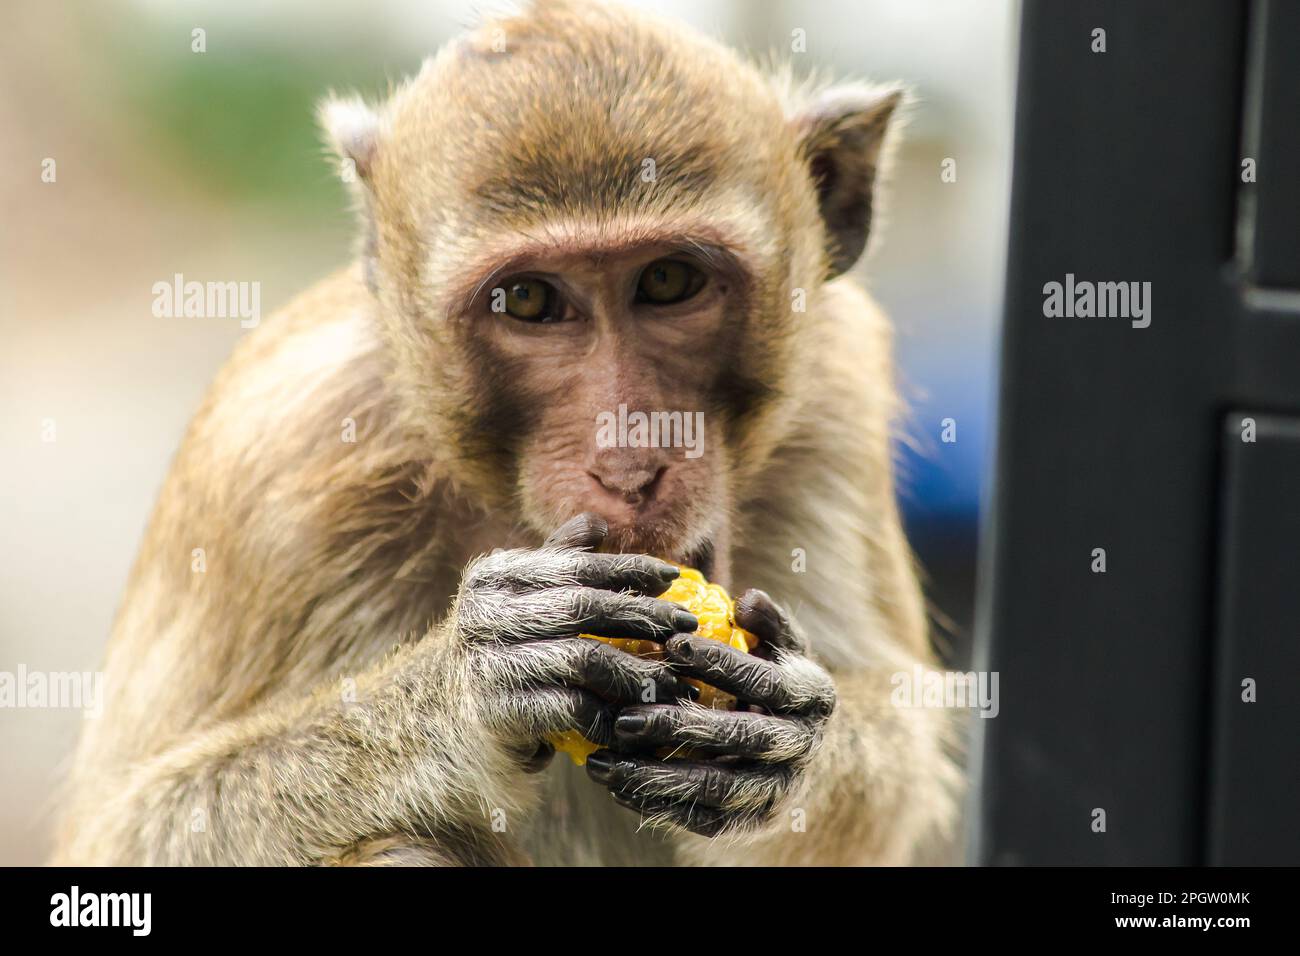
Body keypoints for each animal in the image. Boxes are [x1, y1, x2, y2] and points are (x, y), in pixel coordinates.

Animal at [52, 0, 960, 866]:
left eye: (668, 280)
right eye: (528, 299)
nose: (628, 466)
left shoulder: (837, 393)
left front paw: (785, 739)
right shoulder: (280, 459)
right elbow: (130, 827)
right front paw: (469, 681)